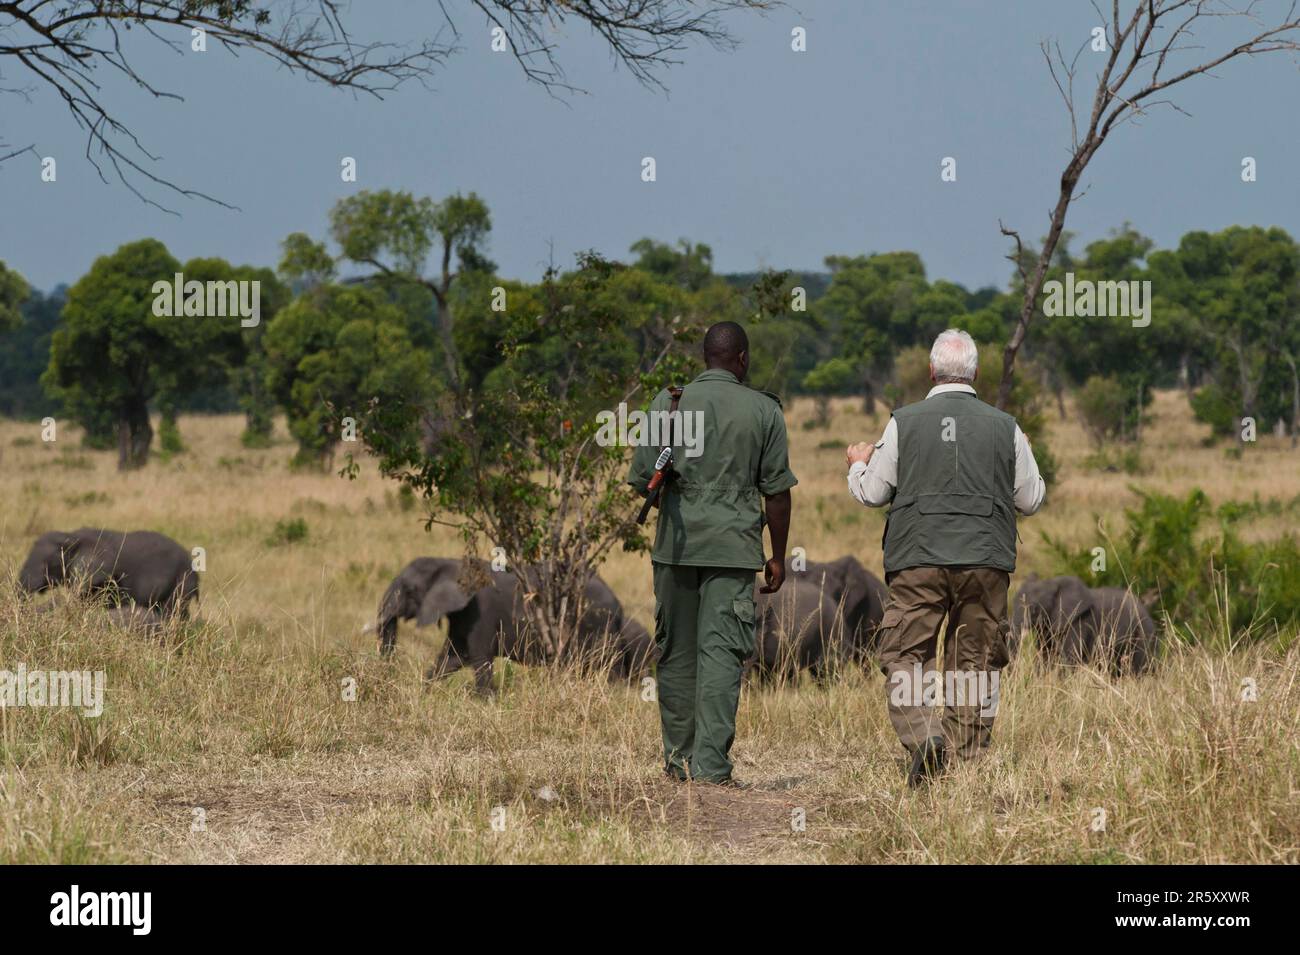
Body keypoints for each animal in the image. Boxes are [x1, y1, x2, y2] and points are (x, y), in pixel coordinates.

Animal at [376, 557, 656, 692]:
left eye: (408, 589)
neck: (449, 563)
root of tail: (618, 605)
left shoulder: (481, 614)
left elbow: (479, 659)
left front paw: (485, 702)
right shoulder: (463, 616)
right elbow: (452, 657)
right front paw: (424, 693)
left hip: (595, 626)